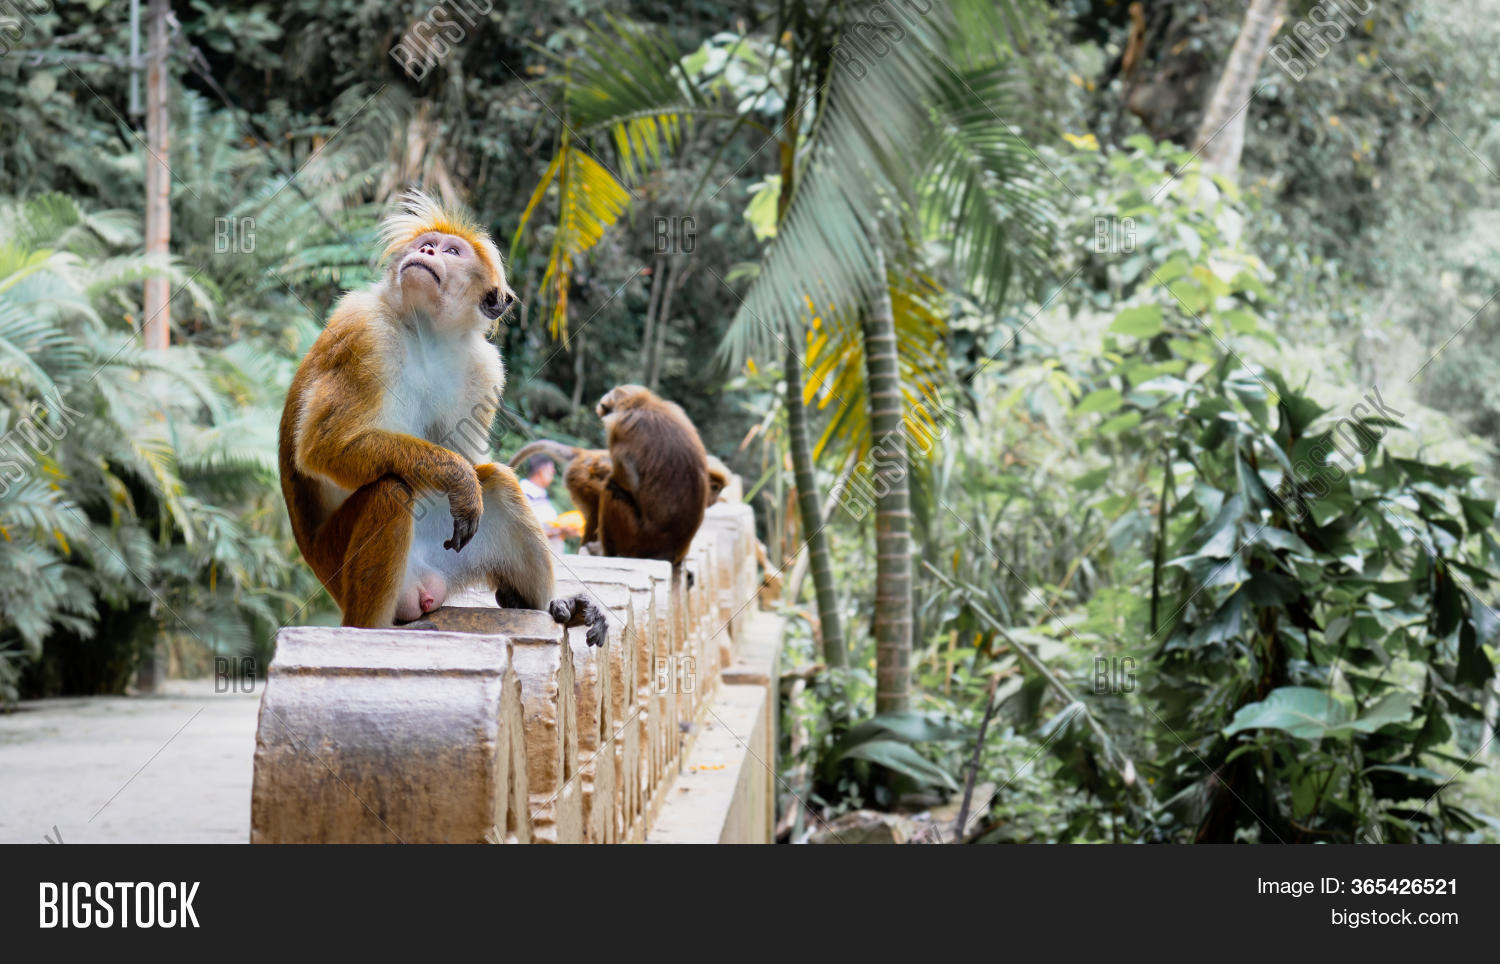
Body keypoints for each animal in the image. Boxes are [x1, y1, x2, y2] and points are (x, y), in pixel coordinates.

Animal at [278, 190, 606, 645]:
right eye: (427, 244)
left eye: (451, 251)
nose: (429, 252)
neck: (424, 333)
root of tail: (422, 588)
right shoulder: (361, 331)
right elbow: (322, 447)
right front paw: (457, 476)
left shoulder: (484, 368)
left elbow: (474, 460)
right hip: (336, 562)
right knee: (391, 491)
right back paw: (372, 630)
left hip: (447, 553)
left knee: (498, 483)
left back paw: (548, 605)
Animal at [508, 385, 712, 565]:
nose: (600, 406)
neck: (645, 404)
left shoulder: (619, 426)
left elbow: (627, 479)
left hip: (635, 537)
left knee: (610, 489)